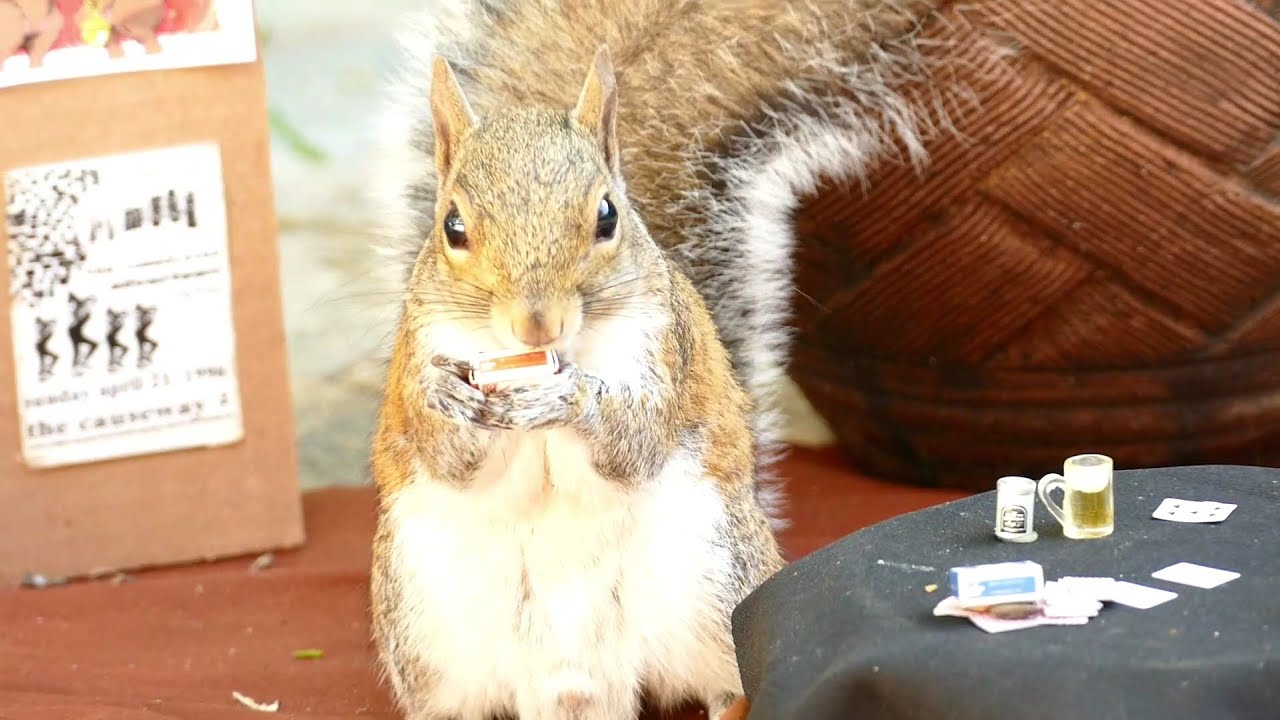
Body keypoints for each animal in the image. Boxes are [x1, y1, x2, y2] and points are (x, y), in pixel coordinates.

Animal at [366, 1, 944, 719]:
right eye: (452, 226)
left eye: (607, 216)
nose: (536, 320)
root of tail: (583, 689)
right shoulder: (425, 346)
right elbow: (450, 458)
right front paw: (446, 402)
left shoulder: (663, 348)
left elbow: (634, 444)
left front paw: (570, 399)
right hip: (431, 624)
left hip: (713, 581)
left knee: (731, 677)